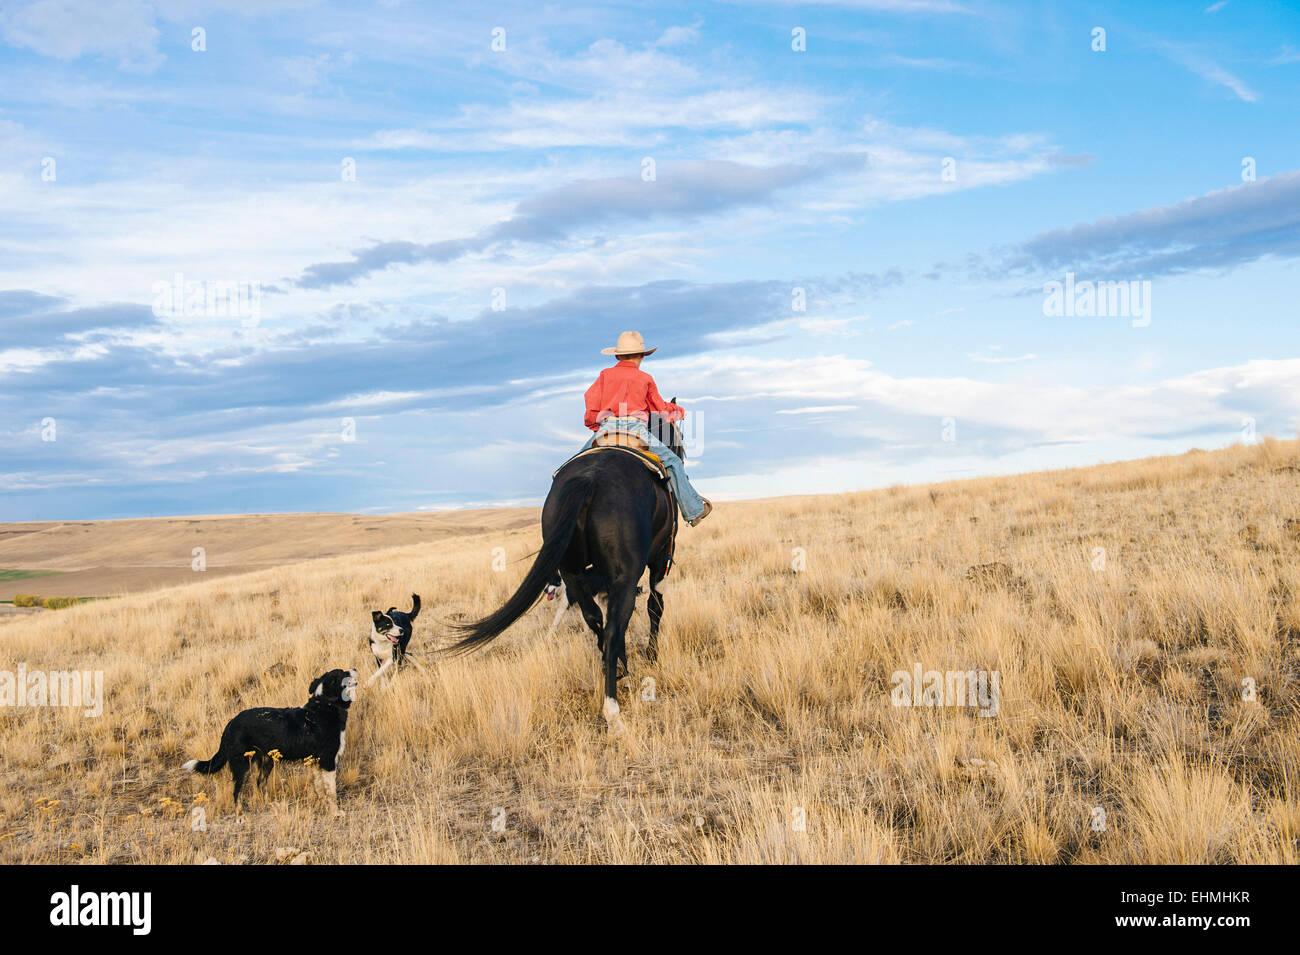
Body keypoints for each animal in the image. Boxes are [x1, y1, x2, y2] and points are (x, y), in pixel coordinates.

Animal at [445, 412, 682, 722]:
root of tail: (590, 478)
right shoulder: (661, 558)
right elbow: (656, 607)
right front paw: (652, 655)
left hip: (574, 573)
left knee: (595, 619)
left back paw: (616, 671)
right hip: (624, 577)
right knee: (613, 628)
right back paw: (613, 705)